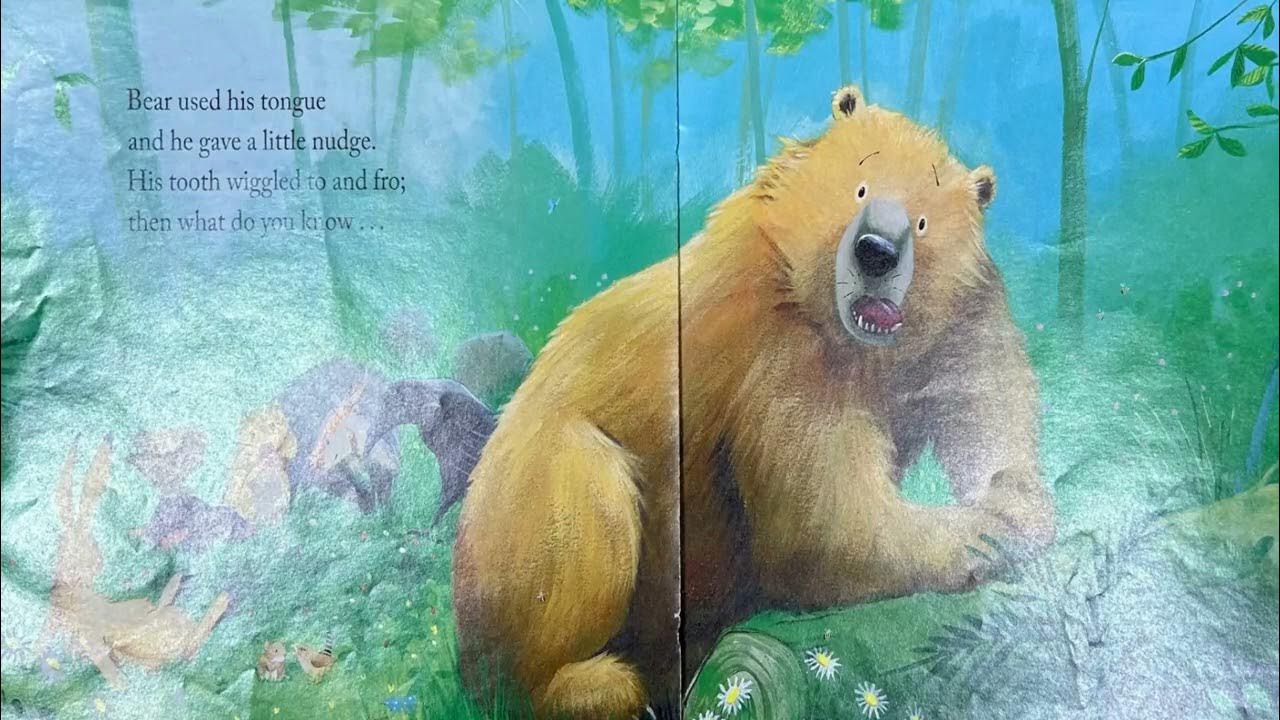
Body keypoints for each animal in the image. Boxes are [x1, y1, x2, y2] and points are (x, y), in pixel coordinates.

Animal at [449, 85, 1055, 719]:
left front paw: (1020, 503)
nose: (876, 252)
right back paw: (594, 685)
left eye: (922, 221)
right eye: (860, 188)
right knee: (585, 504)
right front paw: (986, 533)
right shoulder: (782, 353)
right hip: (526, 501)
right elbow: (827, 526)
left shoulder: (965, 314)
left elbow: (982, 405)